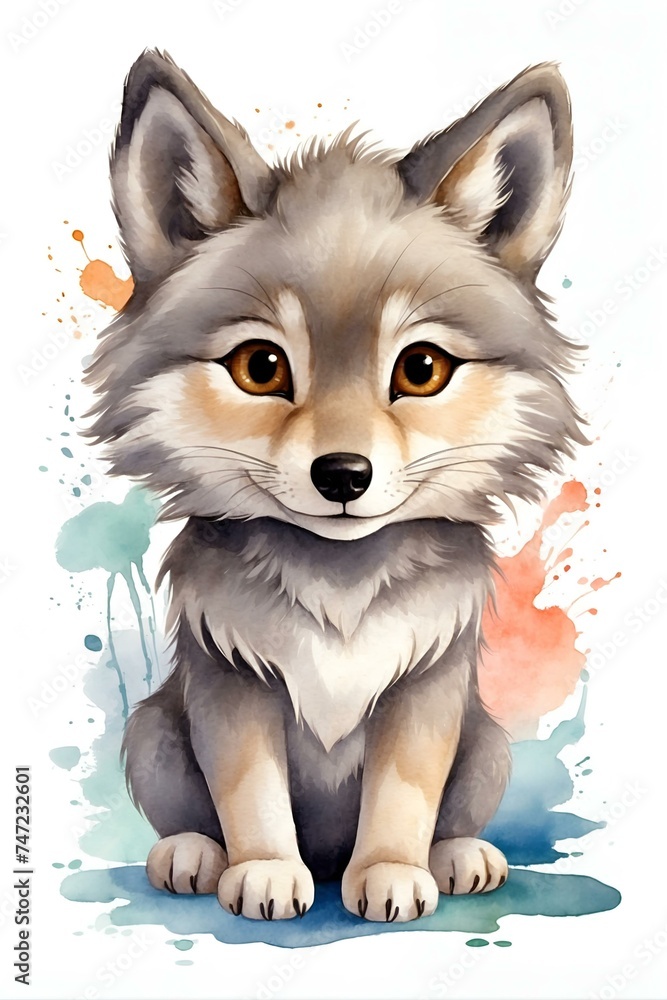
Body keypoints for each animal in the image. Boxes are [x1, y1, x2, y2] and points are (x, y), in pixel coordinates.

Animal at [86, 50, 583, 922]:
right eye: (260, 367)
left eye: (421, 369)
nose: (343, 474)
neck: (338, 581)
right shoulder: (232, 683)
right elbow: (248, 792)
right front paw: (262, 871)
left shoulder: (425, 689)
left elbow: (404, 796)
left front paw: (390, 873)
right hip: (152, 731)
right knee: (185, 812)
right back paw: (192, 855)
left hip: (485, 744)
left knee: (454, 812)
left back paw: (456, 857)